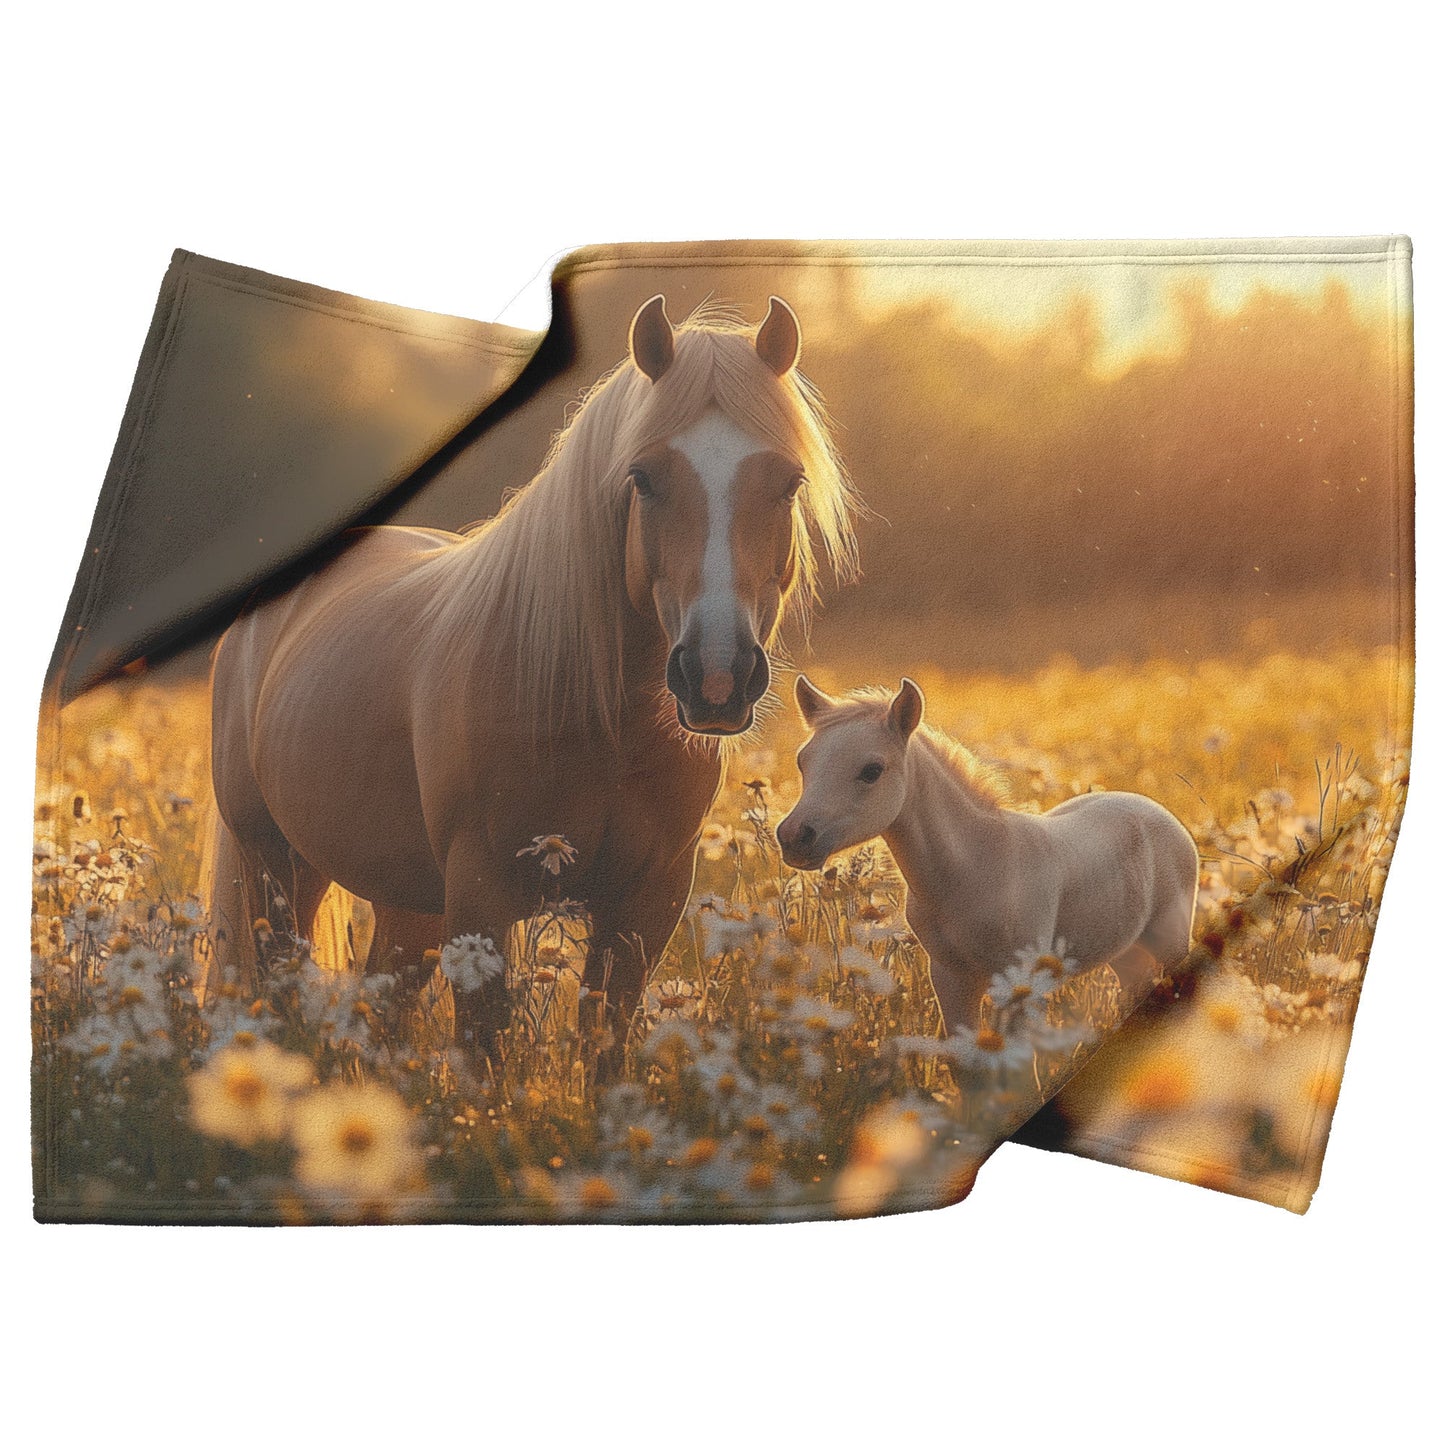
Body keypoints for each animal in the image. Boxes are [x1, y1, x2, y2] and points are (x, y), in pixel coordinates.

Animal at [208, 295, 859, 1058]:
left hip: (403, 900)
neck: (599, 718)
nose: (717, 674)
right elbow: (485, 1050)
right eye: (643, 478)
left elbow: (605, 1043)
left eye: (788, 483)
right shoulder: (480, 896)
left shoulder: (647, 902)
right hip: (274, 865)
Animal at [776, 676, 1199, 1037]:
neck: (975, 869)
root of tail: (1155, 810)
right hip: (1126, 951)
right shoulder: (951, 980)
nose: (794, 837)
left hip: (1171, 941)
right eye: (802, 761)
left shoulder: (1020, 983)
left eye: (871, 769)